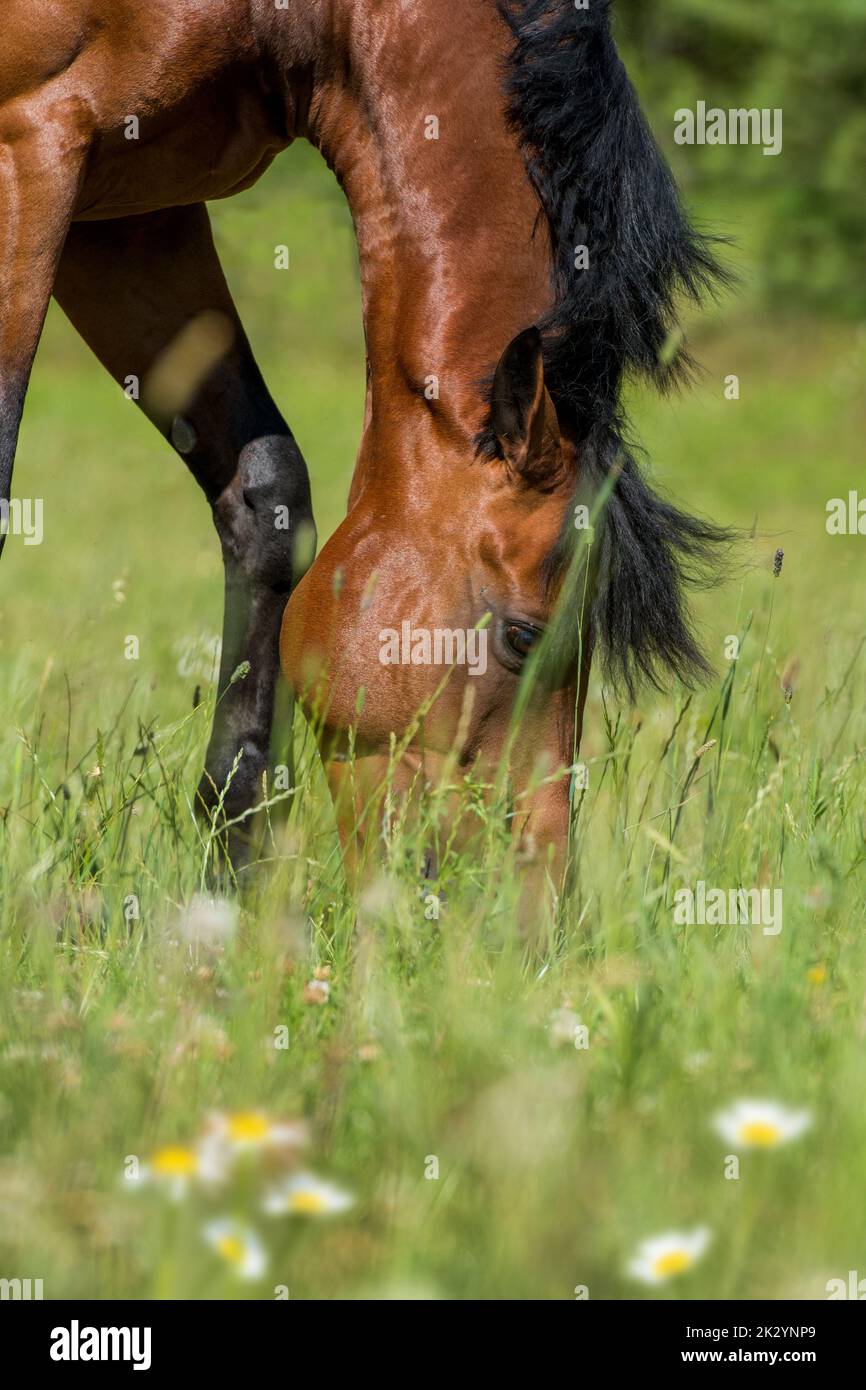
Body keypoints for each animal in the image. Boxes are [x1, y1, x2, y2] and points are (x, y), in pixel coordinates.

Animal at [0, 1, 727, 876]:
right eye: (523, 637)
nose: (534, 893)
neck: (298, 23)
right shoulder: (30, 145)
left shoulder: (134, 214)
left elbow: (266, 493)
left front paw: (233, 870)